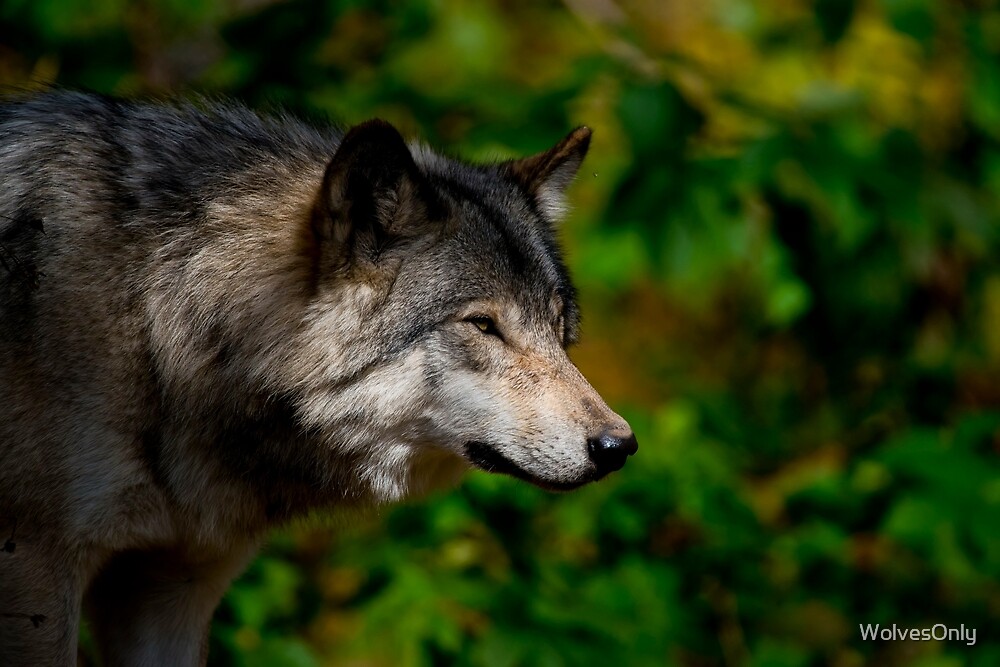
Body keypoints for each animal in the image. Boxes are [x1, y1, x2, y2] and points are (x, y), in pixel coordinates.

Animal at [0, 90, 637, 665]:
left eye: (558, 325)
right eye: (483, 324)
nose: (619, 446)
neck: (157, 327)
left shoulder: (170, 593)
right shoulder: (35, 569)